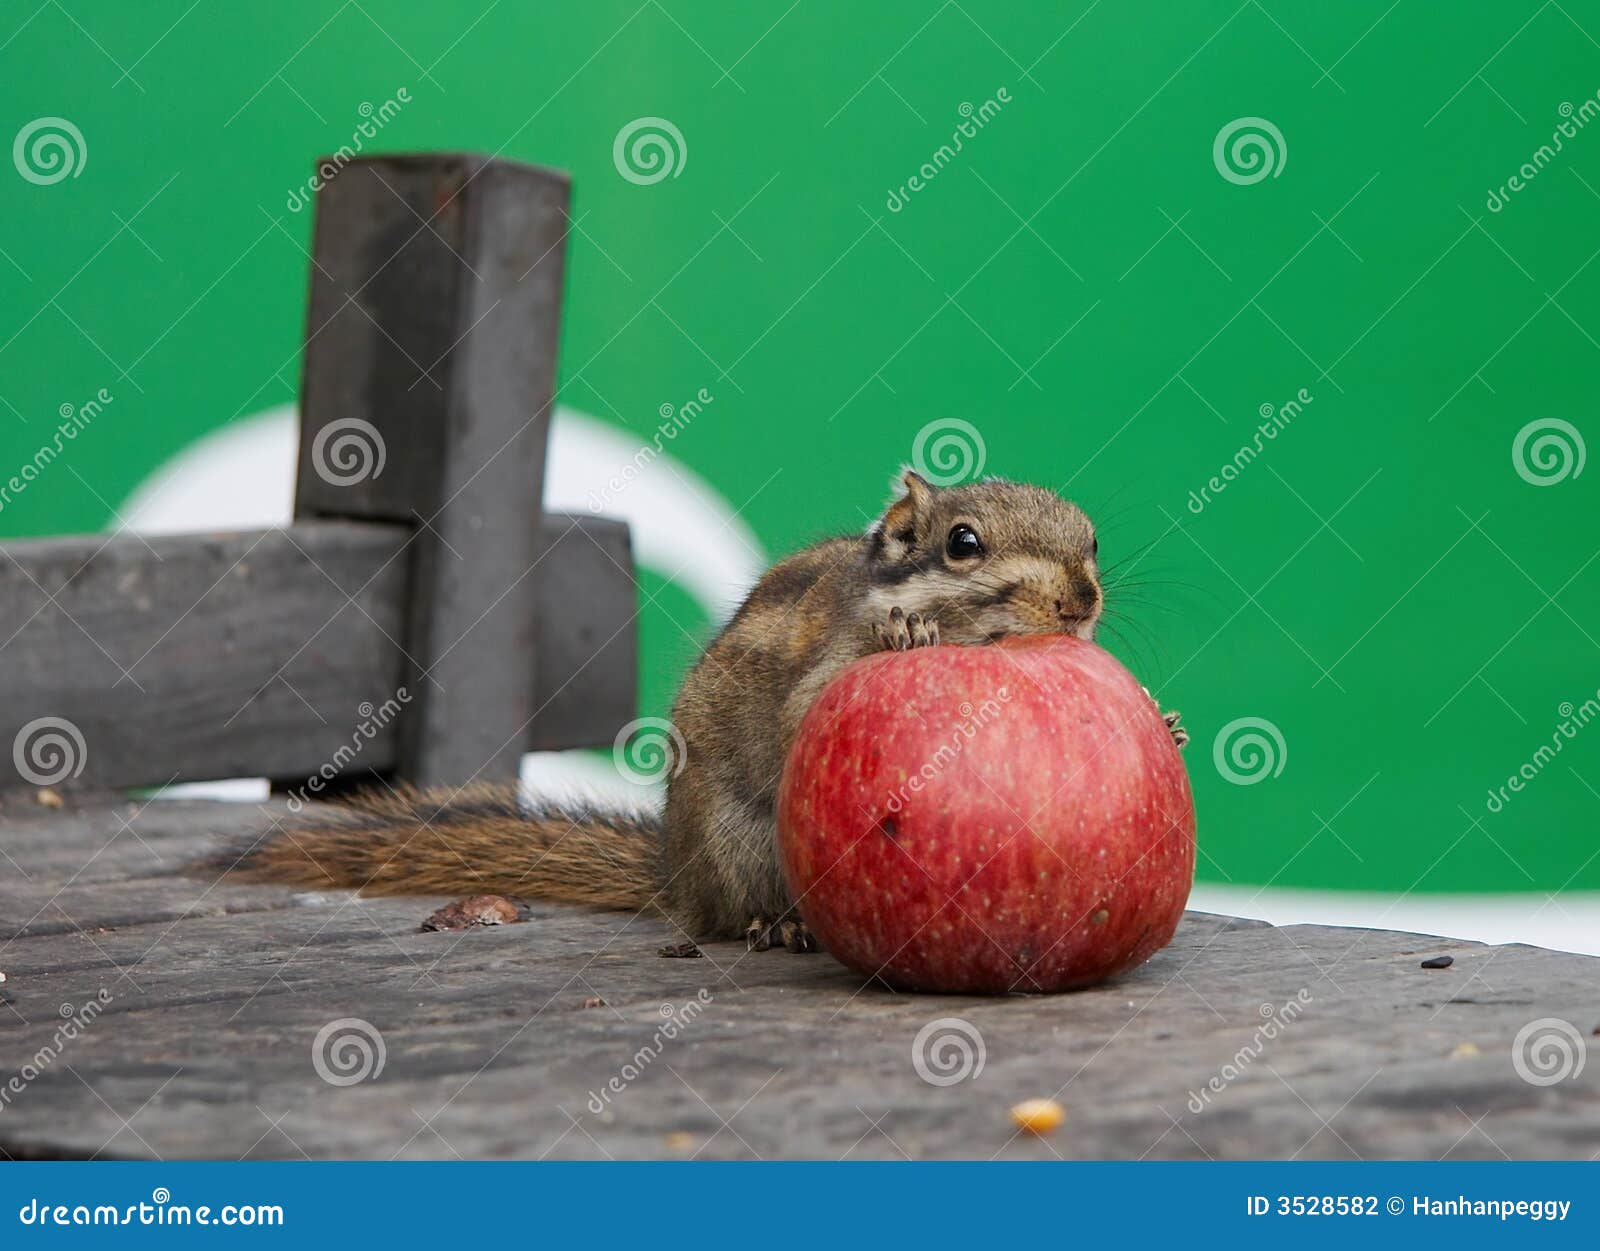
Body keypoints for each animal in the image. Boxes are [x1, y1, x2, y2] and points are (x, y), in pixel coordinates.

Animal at [230, 469, 1186, 952]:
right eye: (963, 543)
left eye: (1091, 537)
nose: (1083, 601)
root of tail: (678, 876)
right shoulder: (820, 669)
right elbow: (810, 706)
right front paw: (907, 636)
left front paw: (1168, 719)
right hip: (741, 848)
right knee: (731, 919)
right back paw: (775, 923)